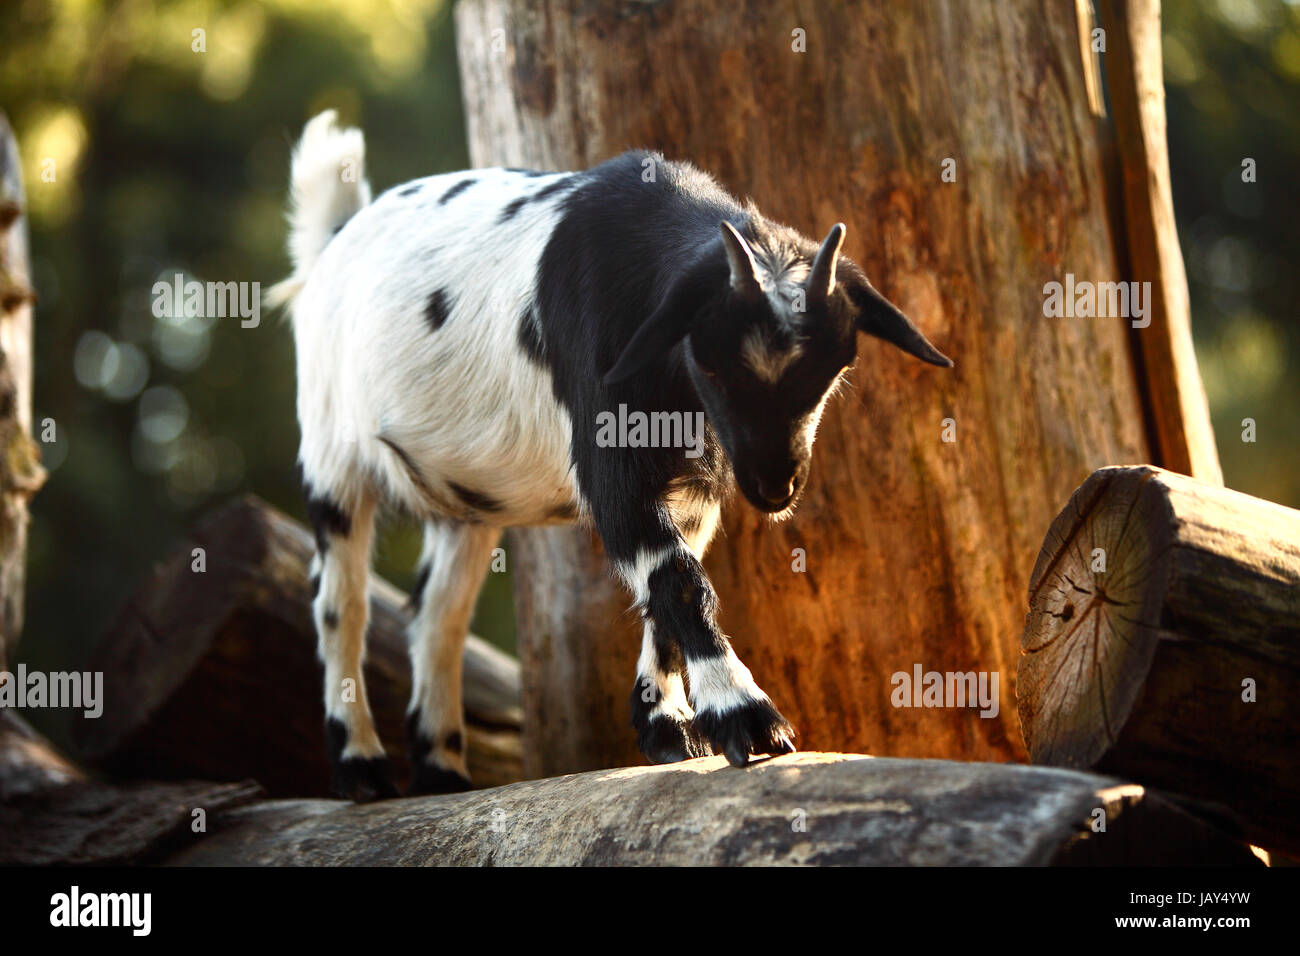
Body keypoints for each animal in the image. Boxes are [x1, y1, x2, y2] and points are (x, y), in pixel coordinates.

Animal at [272, 111, 952, 800]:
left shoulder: (697, 482)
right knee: (340, 601)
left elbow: (669, 583)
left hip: (465, 502)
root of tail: (333, 240)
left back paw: (443, 773)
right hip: (330, 455)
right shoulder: (612, 459)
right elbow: (678, 579)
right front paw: (747, 717)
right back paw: (360, 765)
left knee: (437, 616)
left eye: (832, 369)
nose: (774, 486)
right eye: (711, 362)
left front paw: (665, 724)